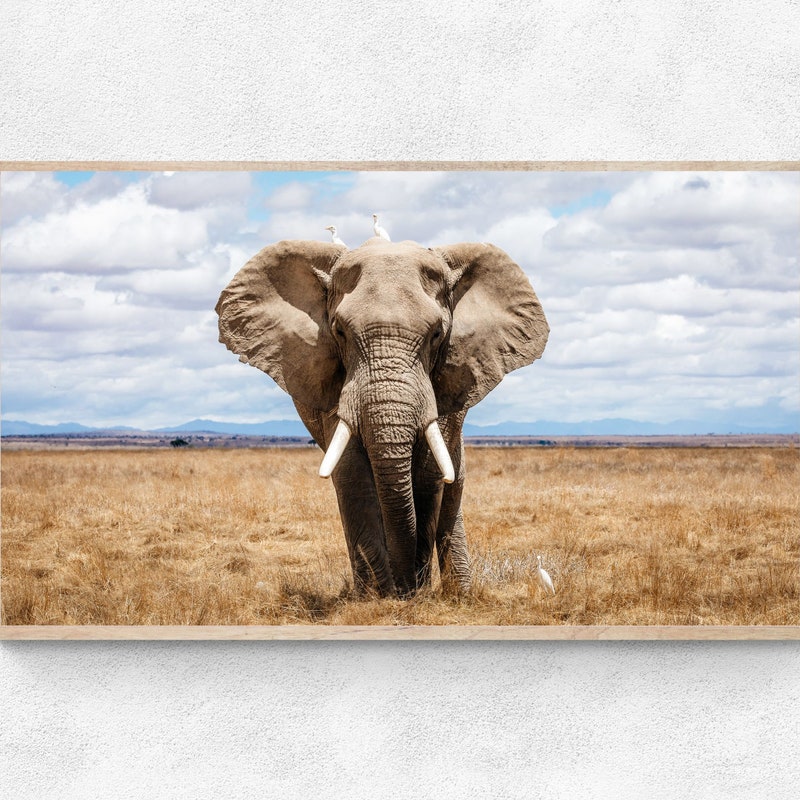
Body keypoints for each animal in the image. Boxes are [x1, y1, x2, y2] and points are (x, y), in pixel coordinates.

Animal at [215, 236, 548, 598]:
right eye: (340, 332)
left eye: (436, 334)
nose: (406, 588)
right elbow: (352, 473)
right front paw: (378, 598)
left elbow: (429, 474)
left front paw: (413, 593)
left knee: (452, 483)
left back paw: (459, 593)